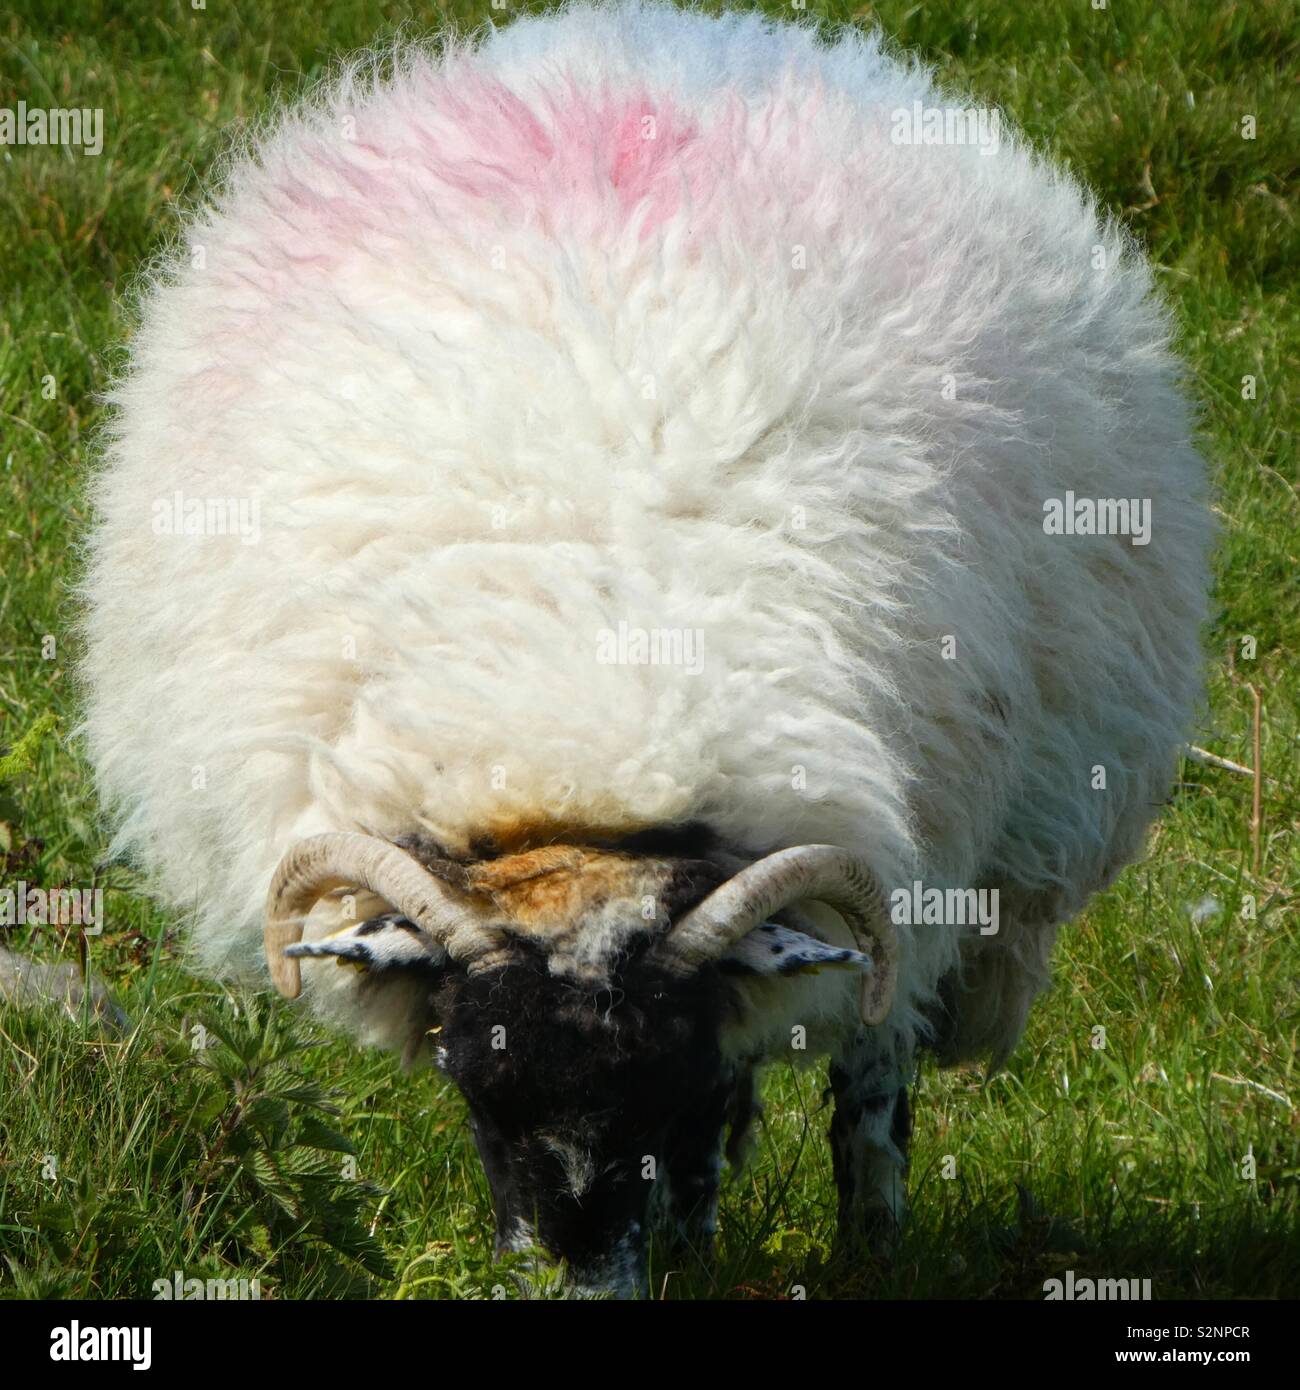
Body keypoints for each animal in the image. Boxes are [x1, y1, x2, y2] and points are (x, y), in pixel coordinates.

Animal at [80, 0, 1213, 1295]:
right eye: (478, 1085)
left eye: (660, 1074)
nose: (583, 1280)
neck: (582, 718)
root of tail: (675, 36)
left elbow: (817, 1087)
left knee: (871, 1073)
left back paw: (862, 1234)